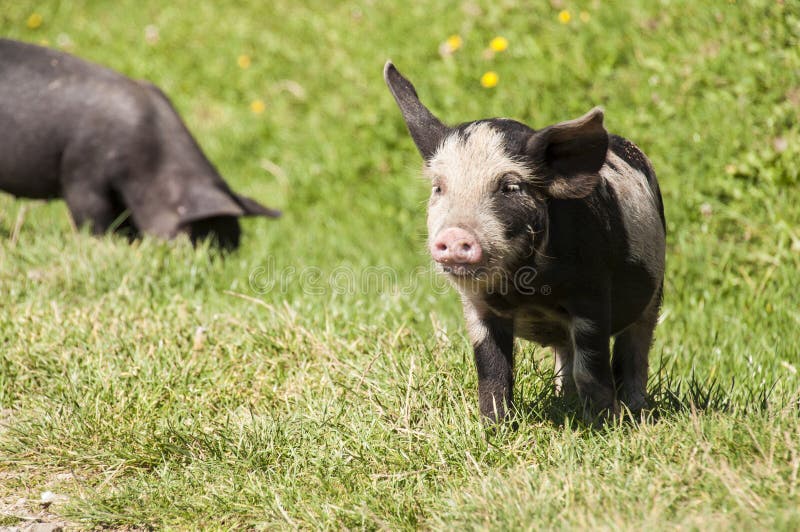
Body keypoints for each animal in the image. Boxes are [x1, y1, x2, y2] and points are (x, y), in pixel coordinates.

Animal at [384, 61, 666, 424]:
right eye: (439, 187)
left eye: (510, 187)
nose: (455, 235)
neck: (526, 292)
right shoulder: (478, 308)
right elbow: (492, 372)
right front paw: (493, 427)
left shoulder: (593, 294)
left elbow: (592, 368)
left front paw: (602, 424)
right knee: (565, 357)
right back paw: (564, 400)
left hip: (654, 293)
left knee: (634, 351)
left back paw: (634, 408)